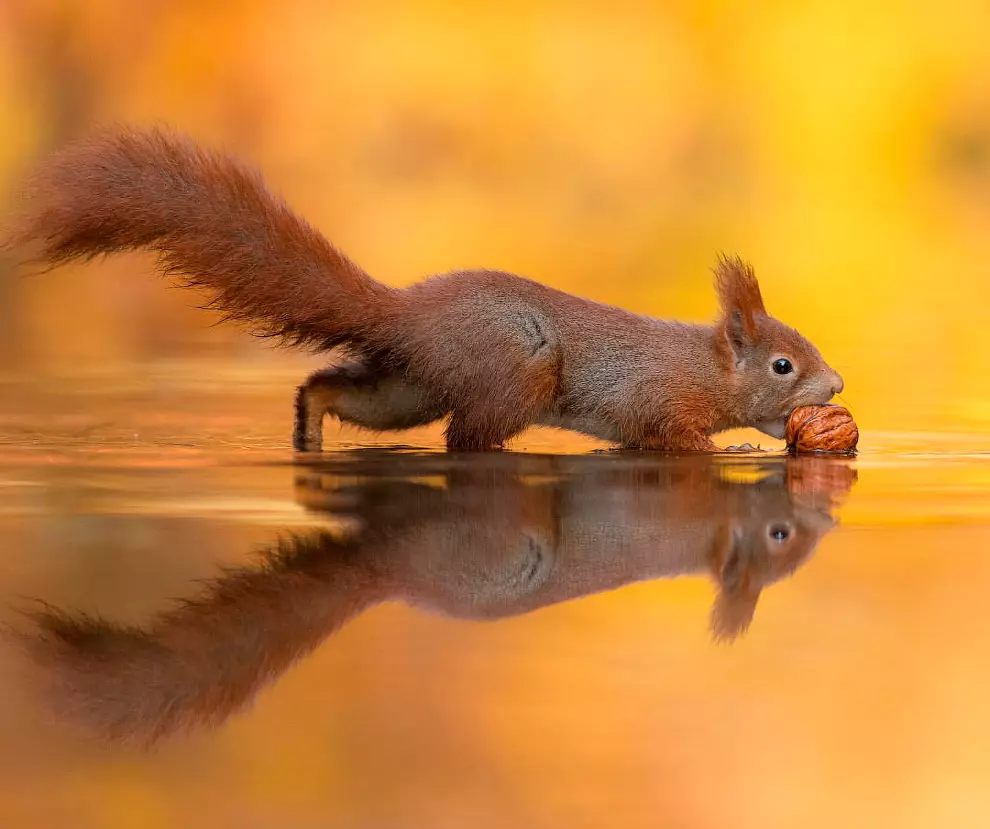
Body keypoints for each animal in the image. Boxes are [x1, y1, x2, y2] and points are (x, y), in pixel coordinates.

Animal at [7, 128, 844, 452]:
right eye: (783, 365)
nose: (837, 387)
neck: (705, 363)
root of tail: (406, 311)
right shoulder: (657, 399)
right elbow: (673, 439)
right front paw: (738, 445)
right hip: (512, 370)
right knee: (465, 440)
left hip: (407, 386)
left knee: (335, 389)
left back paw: (308, 428)